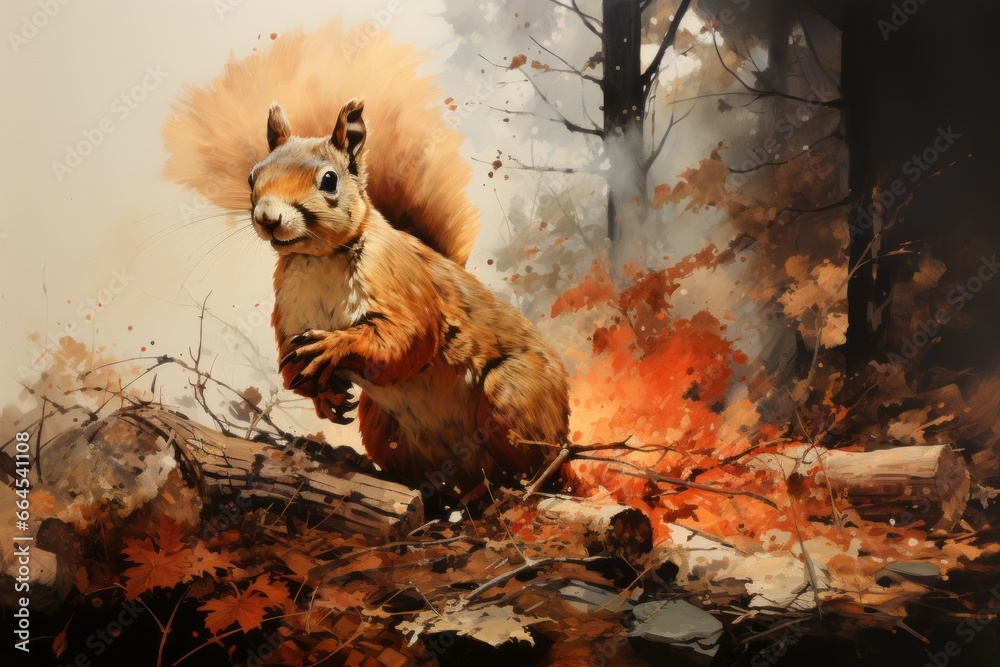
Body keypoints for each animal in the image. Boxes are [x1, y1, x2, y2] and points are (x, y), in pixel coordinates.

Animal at [247, 99, 570, 493]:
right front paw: (325, 397)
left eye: (329, 180)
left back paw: (511, 488)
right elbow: (289, 359)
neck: (320, 259)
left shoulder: (401, 281)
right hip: (380, 425)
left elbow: (407, 338)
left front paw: (334, 346)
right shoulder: (291, 310)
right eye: (253, 176)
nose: (267, 218)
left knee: (535, 463)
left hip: (515, 400)